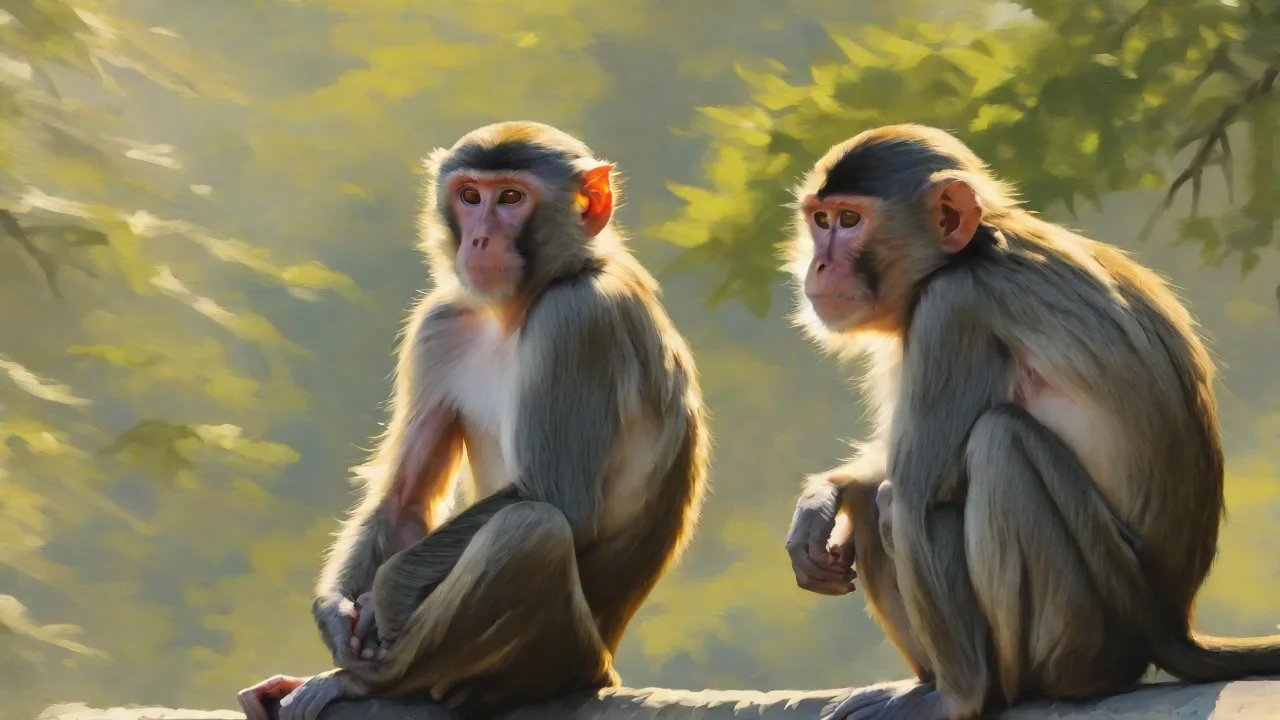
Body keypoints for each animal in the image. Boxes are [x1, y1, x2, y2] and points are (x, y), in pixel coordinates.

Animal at [235, 121, 710, 720]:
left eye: (510, 198)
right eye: (469, 196)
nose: (479, 239)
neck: (518, 307)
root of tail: (606, 660)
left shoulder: (578, 318)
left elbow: (557, 498)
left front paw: (385, 598)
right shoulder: (440, 321)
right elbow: (405, 497)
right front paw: (336, 615)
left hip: (568, 651)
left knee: (530, 530)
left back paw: (370, 681)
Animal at [782, 124, 1280, 720]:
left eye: (851, 220)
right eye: (821, 219)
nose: (819, 266)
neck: (972, 252)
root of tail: (1173, 626)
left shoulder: (952, 308)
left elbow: (921, 499)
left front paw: (957, 700)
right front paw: (821, 497)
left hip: (1094, 618)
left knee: (997, 445)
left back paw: (992, 689)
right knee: (877, 495)